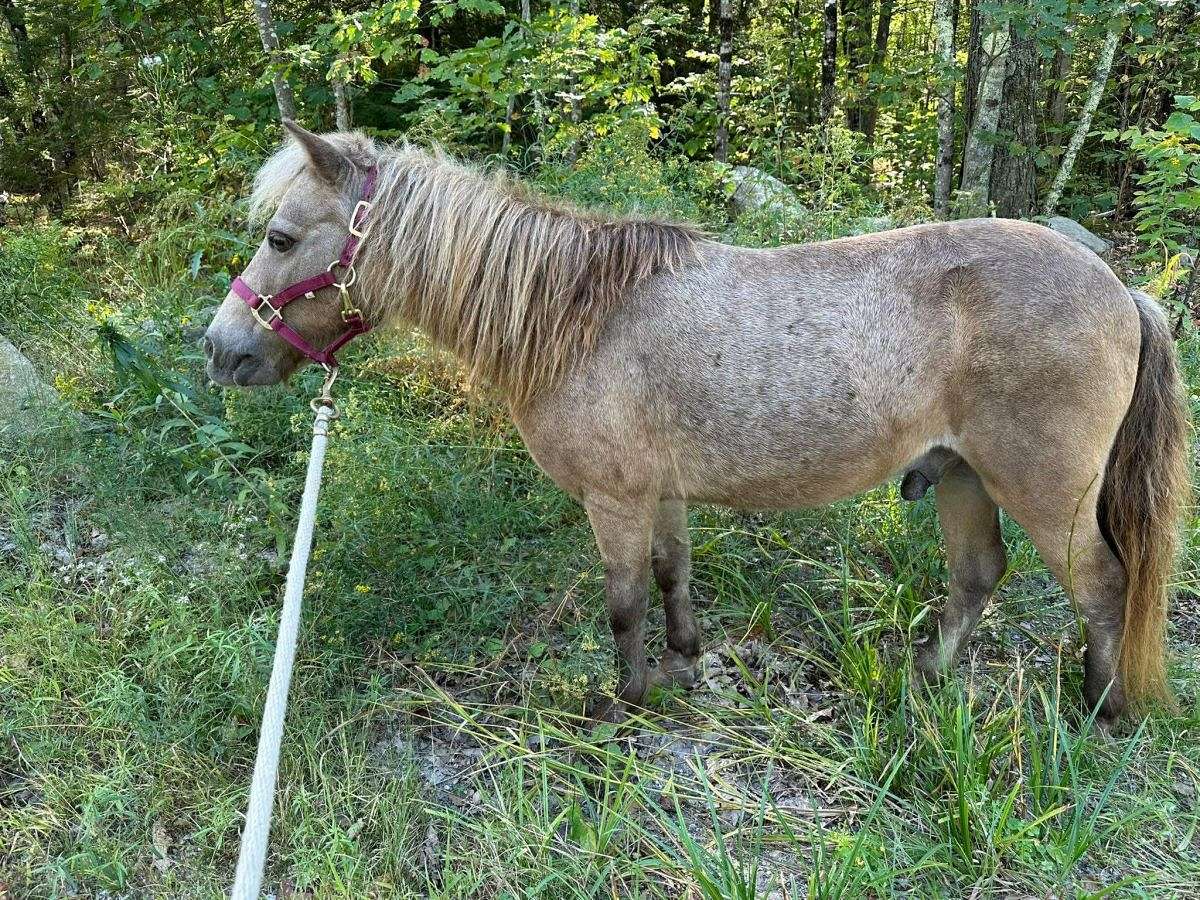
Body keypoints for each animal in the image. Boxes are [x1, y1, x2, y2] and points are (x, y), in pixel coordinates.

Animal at [204, 123, 1189, 727]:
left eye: (282, 237)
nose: (221, 350)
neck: (579, 317)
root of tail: (1121, 290)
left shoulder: (613, 499)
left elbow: (624, 600)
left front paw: (626, 698)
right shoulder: (661, 492)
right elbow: (674, 577)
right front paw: (684, 664)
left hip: (1044, 492)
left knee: (1102, 586)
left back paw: (1102, 710)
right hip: (961, 476)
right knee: (979, 576)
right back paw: (930, 677)